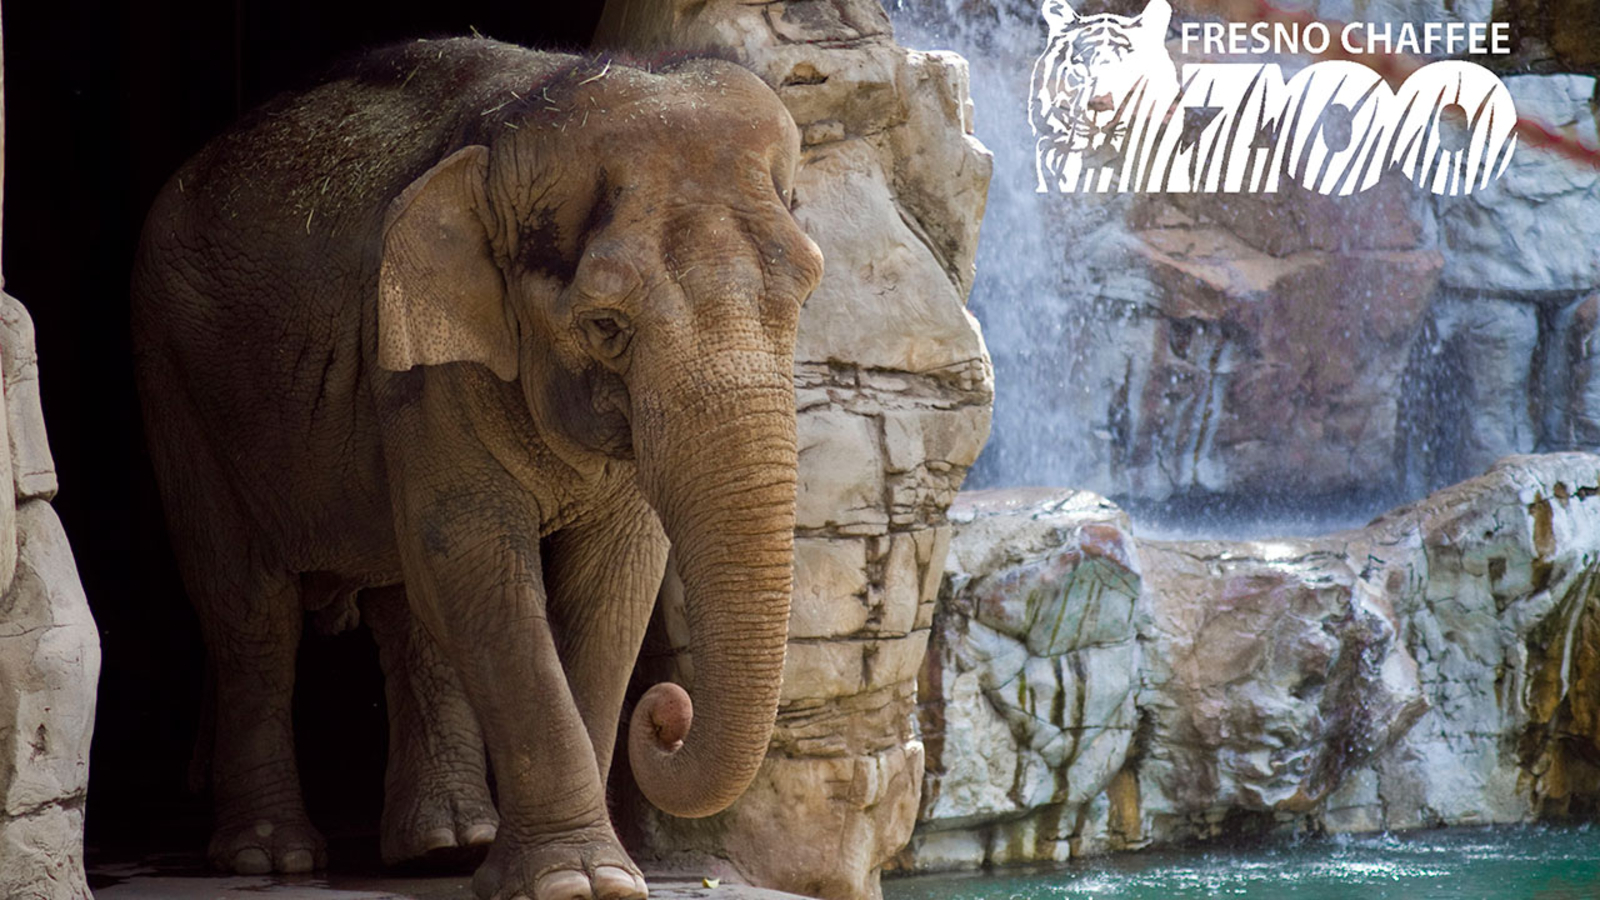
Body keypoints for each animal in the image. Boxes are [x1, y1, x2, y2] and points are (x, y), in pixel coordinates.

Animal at [130, 37, 823, 900]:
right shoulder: (422, 360)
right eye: (606, 325)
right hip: (177, 380)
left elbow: (611, 579)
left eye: (804, 293)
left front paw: (599, 876)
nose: (666, 713)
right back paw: (270, 858)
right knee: (251, 609)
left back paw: (446, 845)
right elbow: (476, 556)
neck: (516, 118)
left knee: (403, 601)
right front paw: (577, 881)